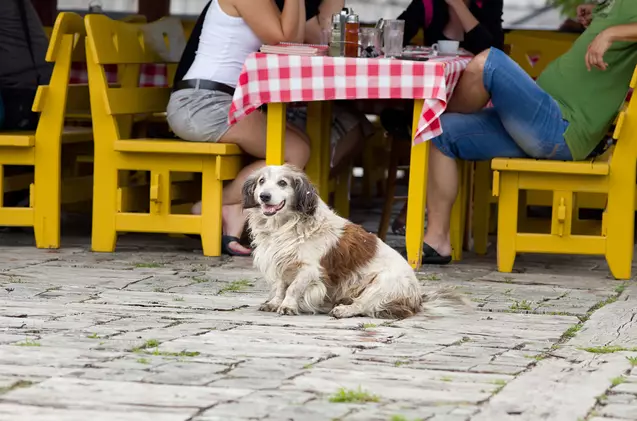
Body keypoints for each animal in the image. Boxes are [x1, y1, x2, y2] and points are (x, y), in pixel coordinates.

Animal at [241, 164, 464, 318]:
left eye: (282, 183)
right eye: (261, 181)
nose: (264, 196)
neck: (286, 226)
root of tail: (417, 298)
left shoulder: (309, 269)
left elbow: (293, 288)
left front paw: (287, 306)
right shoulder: (281, 262)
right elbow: (281, 286)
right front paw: (275, 303)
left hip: (380, 284)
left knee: (362, 306)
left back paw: (343, 310)